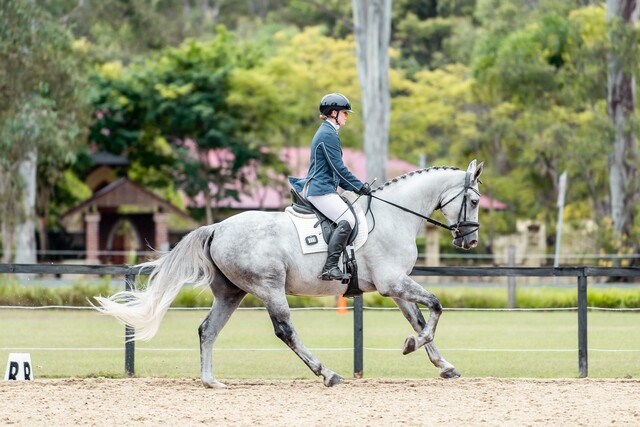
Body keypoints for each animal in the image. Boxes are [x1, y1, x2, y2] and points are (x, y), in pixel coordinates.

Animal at [93, 159, 484, 388]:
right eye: (475, 201)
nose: (470, 240)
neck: (394, 215)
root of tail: (217, 227)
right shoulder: (393, 284)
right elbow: (435, 307)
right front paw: (411, 346)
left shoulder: (395, 287)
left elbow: (420, 318)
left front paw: (444, 365)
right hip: (269, 287)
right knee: (286, 331)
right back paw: (327, 373)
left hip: (231, 293)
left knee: (208, 330)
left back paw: (210, 381)